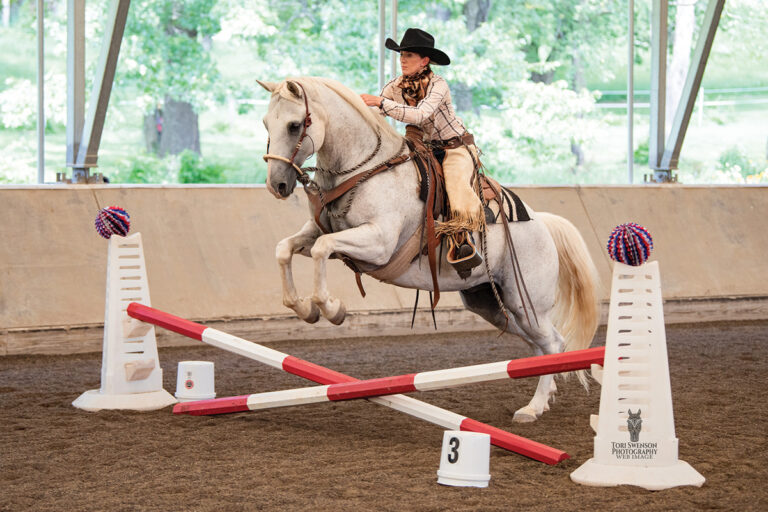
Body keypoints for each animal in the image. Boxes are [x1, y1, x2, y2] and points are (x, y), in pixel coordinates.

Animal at [256, 77, 599, 422]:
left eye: (294, 124)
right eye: (266, 123)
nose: (277, 185)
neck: (365, 170)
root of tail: (542, 223)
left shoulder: (377, 243)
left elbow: (321, 250)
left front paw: (332, 309)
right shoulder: (319, 232)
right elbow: (284, 249)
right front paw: (305, 309)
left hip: (526, 302)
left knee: (553, 343)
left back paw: (533, 407)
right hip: (492, 305)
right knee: (540, 346)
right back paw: (543, 398)